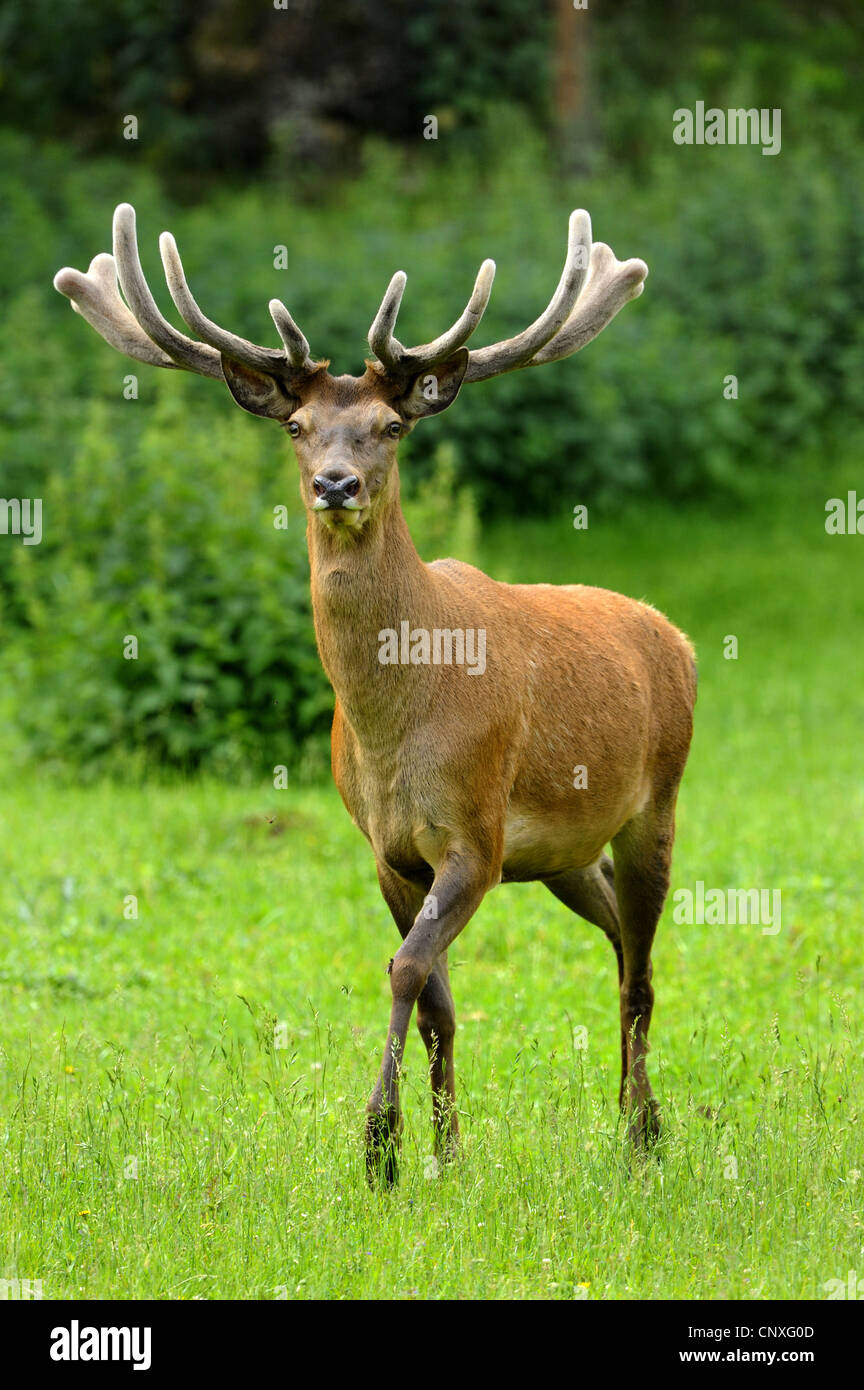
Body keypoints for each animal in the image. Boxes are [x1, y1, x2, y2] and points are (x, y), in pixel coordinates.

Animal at [55, 204, 696, 1185]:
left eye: (392, 425)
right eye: (297, 425)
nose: (335, 483)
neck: (397, 725)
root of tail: (678, 637)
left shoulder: (474, 834)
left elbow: (402, 970)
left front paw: (379, 1146)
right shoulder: (390, 849)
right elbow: (433, 996)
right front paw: (444, 1154)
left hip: (654, 804)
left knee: (642, 969)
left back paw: (639, 1136)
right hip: (562, 853)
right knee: (622, 943)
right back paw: (637, 1119)